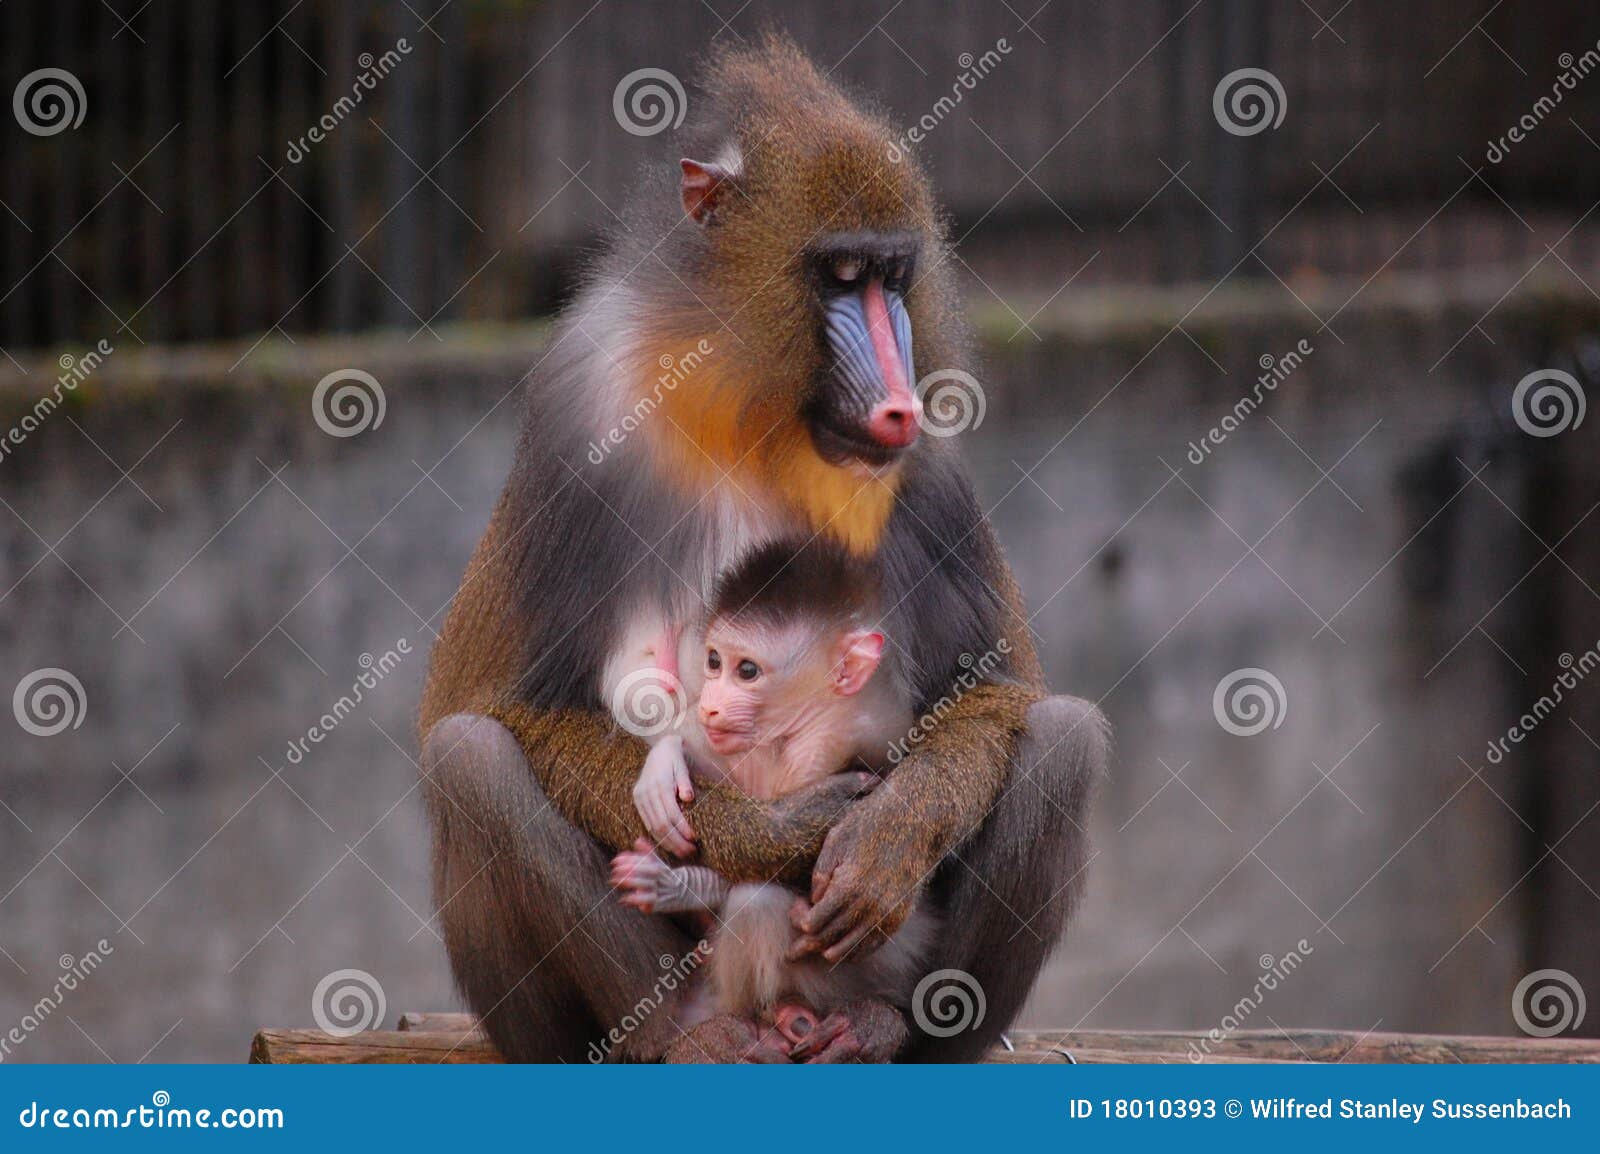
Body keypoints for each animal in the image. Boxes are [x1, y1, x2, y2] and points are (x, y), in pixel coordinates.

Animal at [609, 539, 933, 1061]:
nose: (709, 705)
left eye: (747, 671)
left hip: (849, 978)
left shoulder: (824, 745)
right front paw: (666, 766)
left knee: (757, 904)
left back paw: (785, 1018)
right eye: (713, 661)